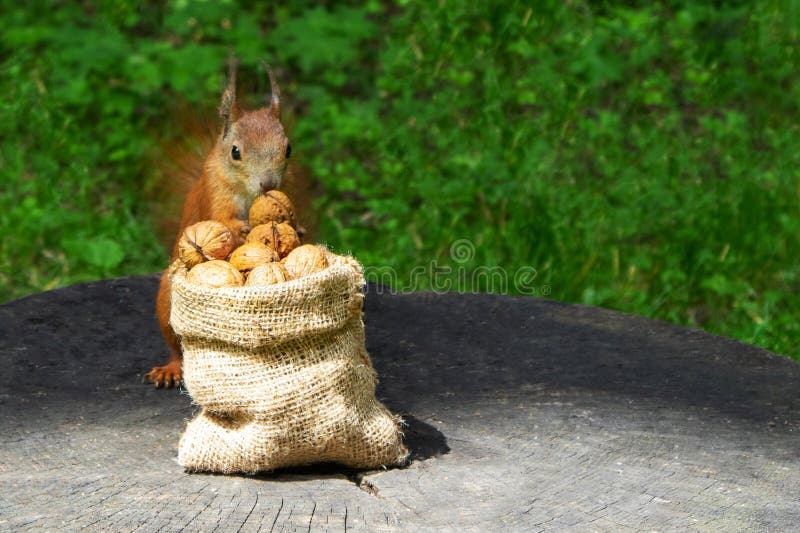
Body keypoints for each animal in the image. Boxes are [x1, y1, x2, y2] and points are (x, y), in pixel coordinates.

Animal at [147, 61, 292, 388]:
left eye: (288, 149)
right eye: (235, 151)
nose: (268, 184)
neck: (247, 192)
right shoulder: (215, 192)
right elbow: (221, 222)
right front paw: (241, 229)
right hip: (168, 306)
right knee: (178, 348)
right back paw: (172, 368)